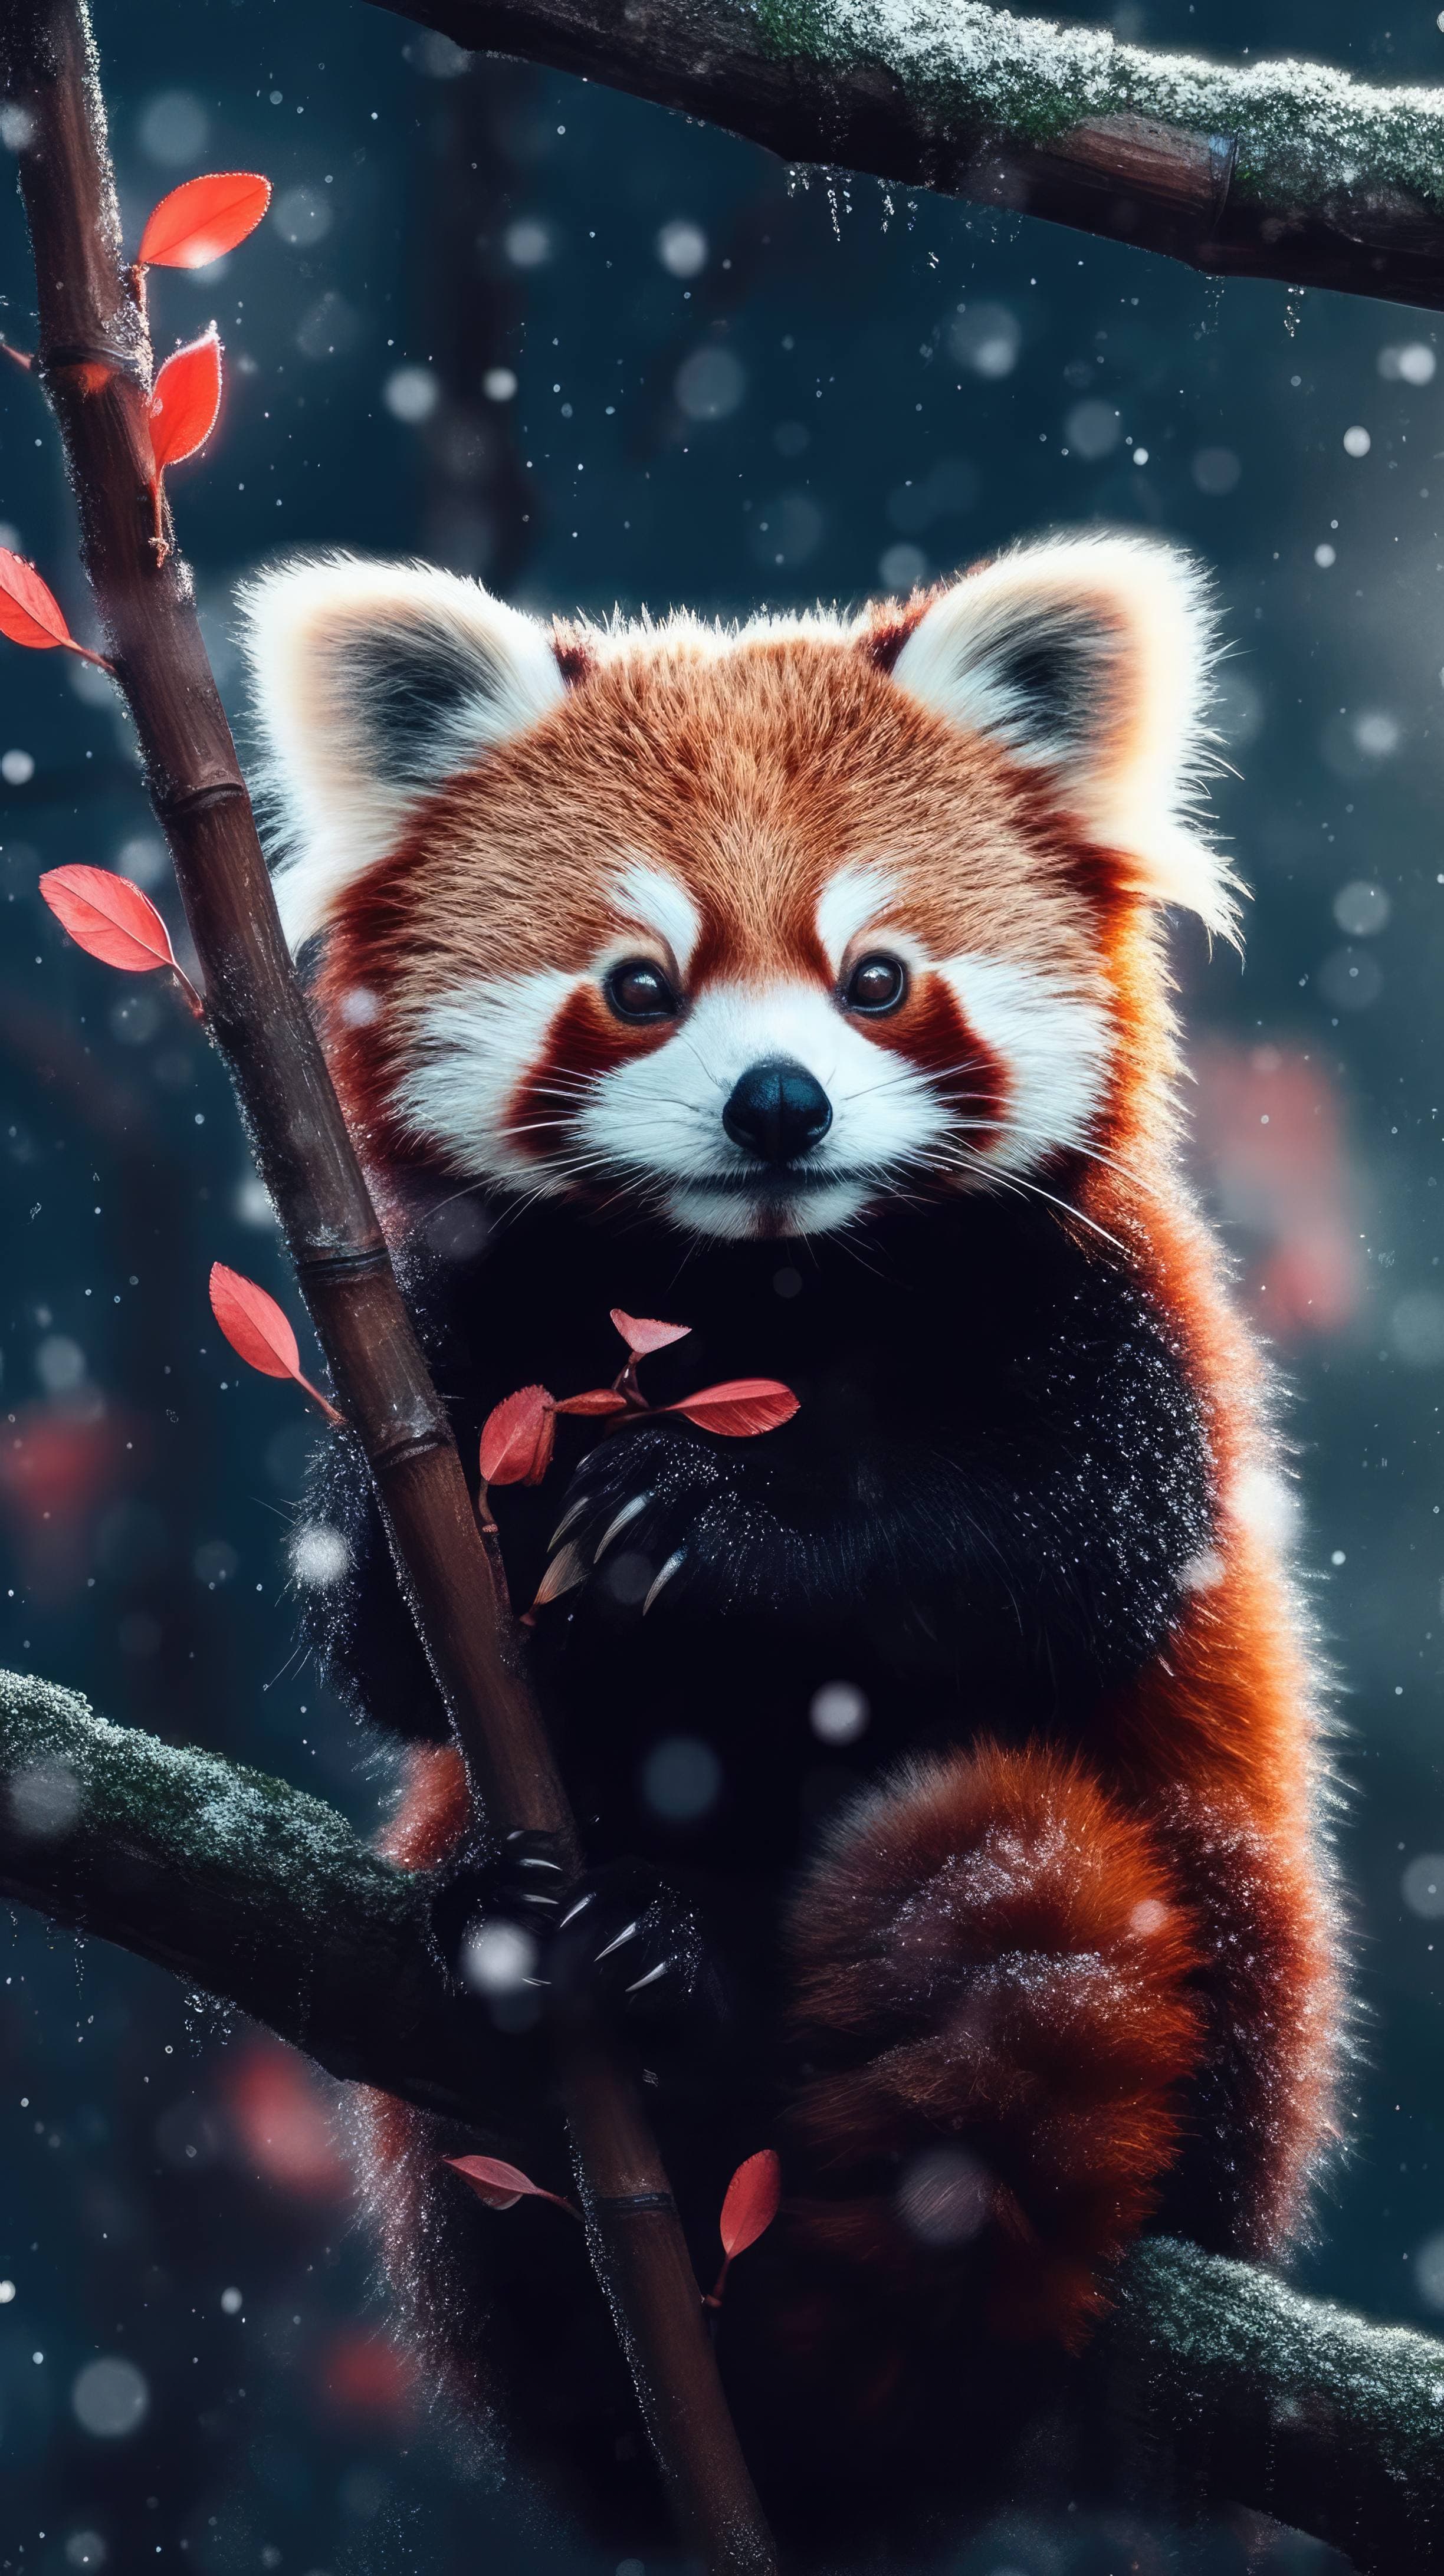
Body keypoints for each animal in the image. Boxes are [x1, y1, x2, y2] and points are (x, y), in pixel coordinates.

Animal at [240, 535, 1341, 2554]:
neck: (767, 1289)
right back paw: (582, 1949)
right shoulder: (468, 1315)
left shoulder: (1107, 1309)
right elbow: (388, 1640)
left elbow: (1064, 1557)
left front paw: (716, 1523)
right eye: (640, 985)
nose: (779, 1104)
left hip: (1235, 1940)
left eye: (879, 978)